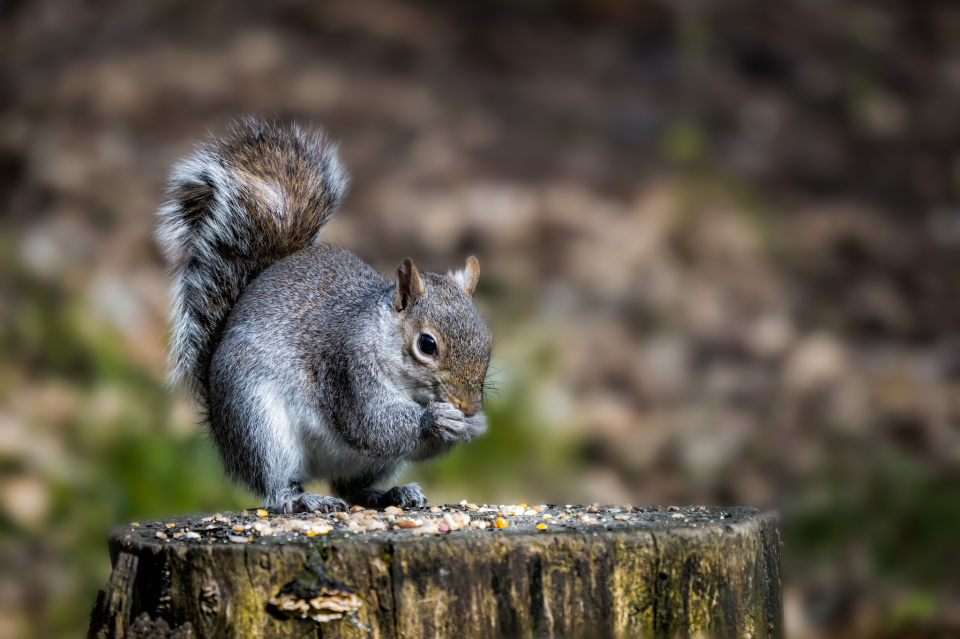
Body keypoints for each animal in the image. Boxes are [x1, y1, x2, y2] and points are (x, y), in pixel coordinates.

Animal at [156, 118, 492, 513]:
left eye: (487, 340)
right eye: (427, 345)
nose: (468, 405)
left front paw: (475, 424)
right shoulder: (347, 370)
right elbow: (371, 426)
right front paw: (437, 417)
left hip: (370, 463)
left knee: (352, 487)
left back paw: (392, 494)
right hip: (258, 422)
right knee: (276, 487)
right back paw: (302, 499)